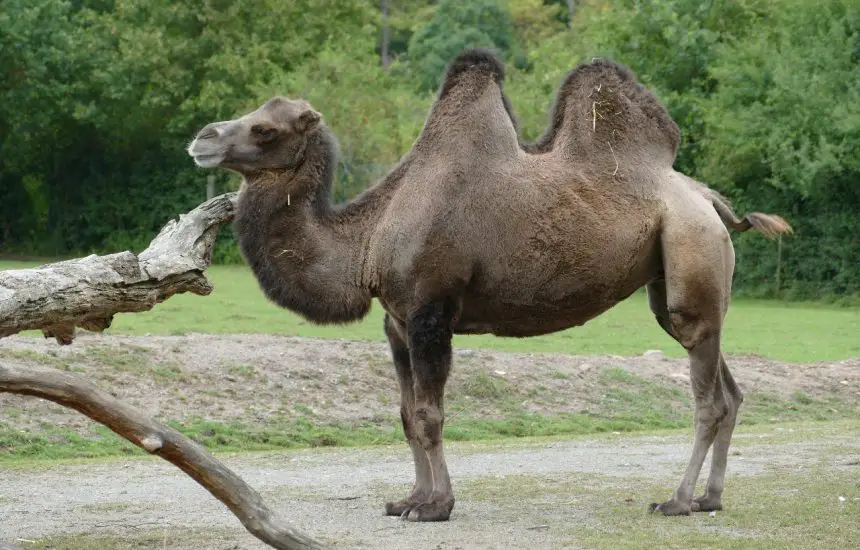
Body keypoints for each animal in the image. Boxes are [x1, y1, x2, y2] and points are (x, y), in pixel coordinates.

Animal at [186, 48, 792, 522]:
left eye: (266, 128)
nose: (202, 138)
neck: (368, 238)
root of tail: (711, 200)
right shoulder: (397, 322)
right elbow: (408, 415)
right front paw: (408, 499)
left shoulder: (432, 310)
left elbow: (430, 415)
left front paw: (436, 507)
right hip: (674, 279)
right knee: (728, 388)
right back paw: (711, 498)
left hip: (692, 251)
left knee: (707, 396)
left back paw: (678, 500)